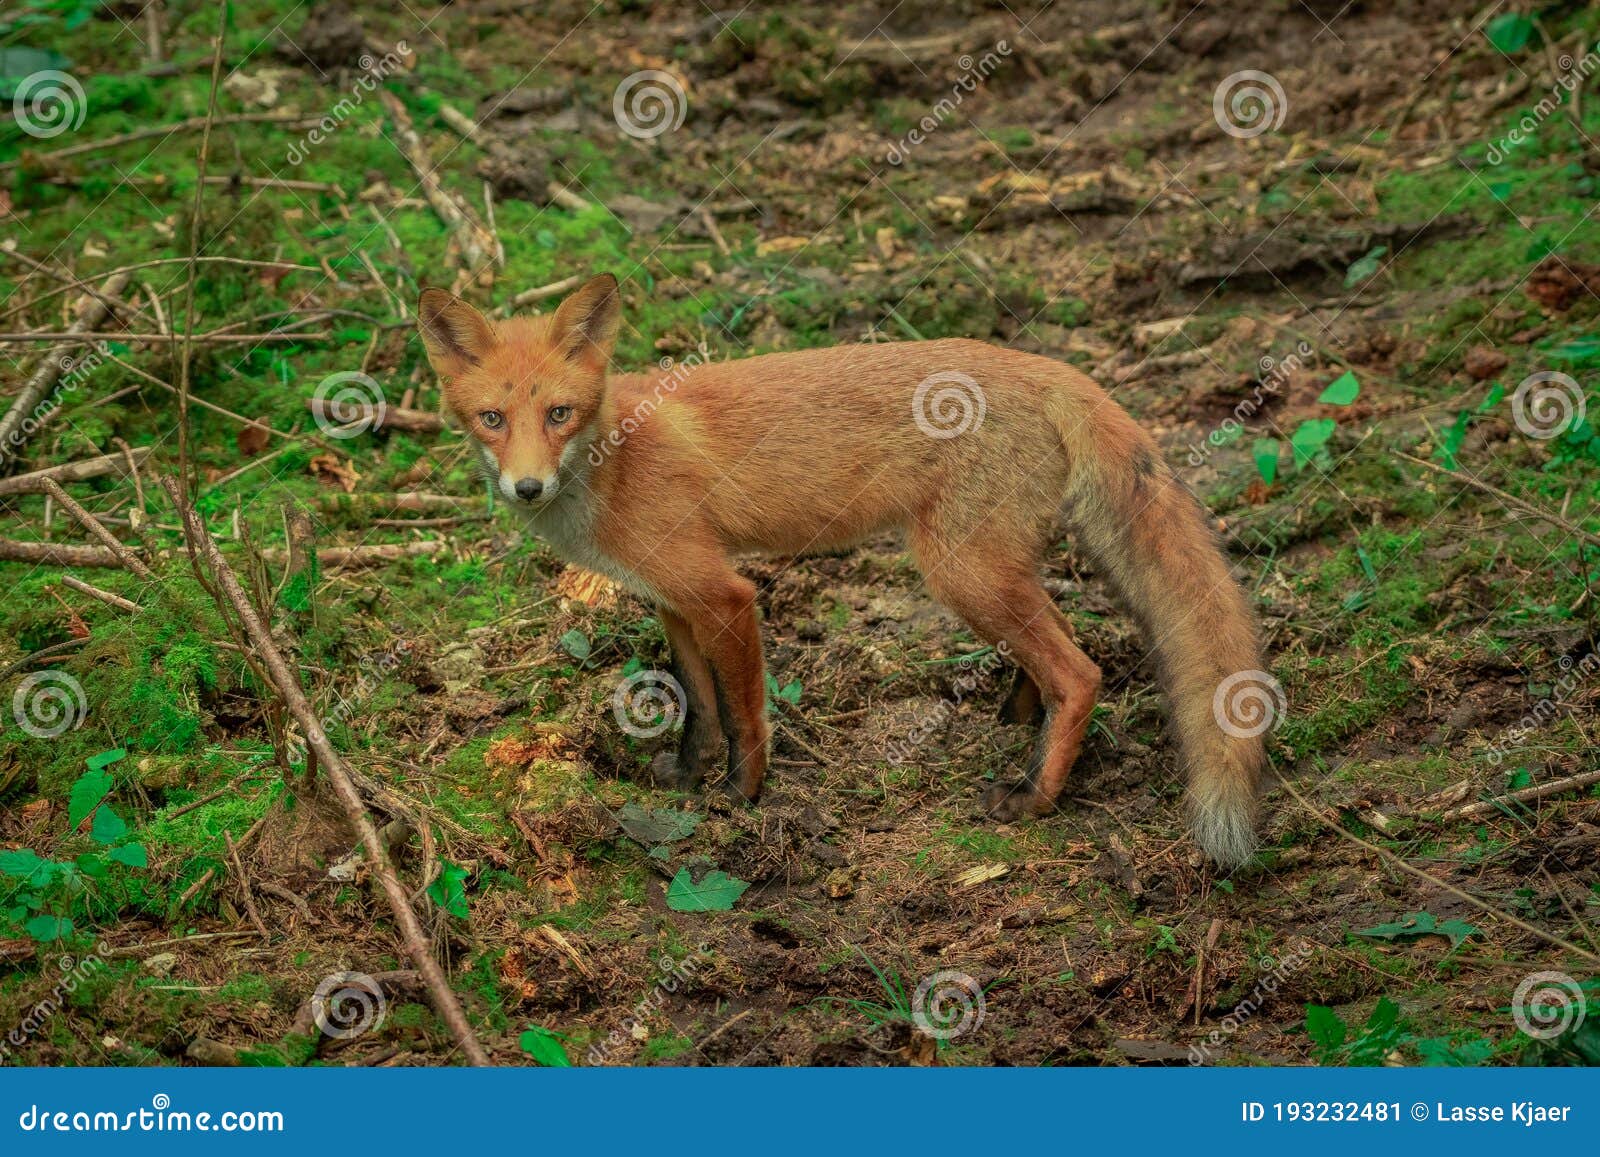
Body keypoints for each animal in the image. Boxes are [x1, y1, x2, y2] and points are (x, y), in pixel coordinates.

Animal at [417, 274, 1268, 868]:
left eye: (558, 413)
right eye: (493, 419)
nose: (527, 487)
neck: (616, 457)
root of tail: (1045, 365)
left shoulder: (724, 594)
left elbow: (743, 715)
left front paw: (743, 797)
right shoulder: (672, 602)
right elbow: (695, 702)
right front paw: (686, 777)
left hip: (959, 570)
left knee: (1083, 669)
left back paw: (1032, 795)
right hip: (993, 565)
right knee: (1056, 636)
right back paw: (1020, 719)